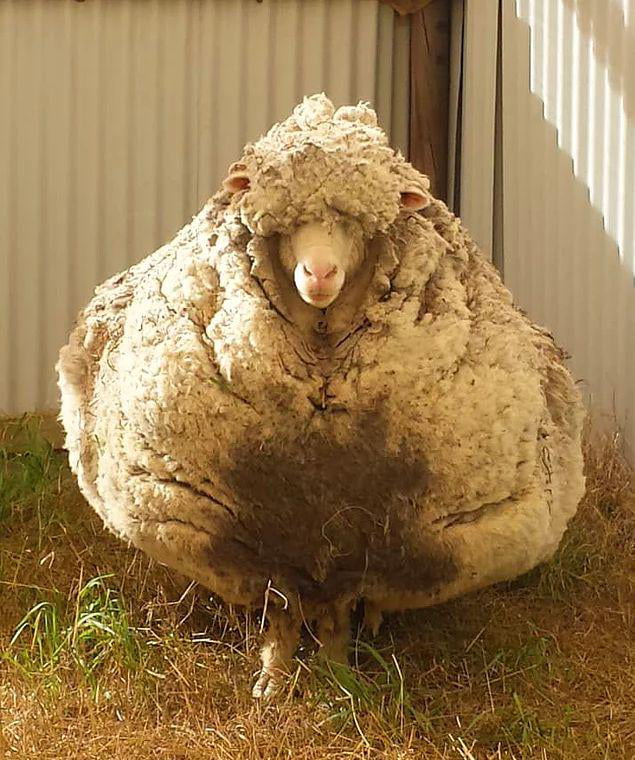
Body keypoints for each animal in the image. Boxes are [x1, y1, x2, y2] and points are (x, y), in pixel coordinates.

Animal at [57, 94, 586, 698]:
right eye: (285, 226)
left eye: (357, 226)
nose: (320, 273)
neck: (323, 358)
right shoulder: (261, 545)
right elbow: (282, 613)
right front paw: (272, 682)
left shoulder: (362, 551)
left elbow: (339, 615)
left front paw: (337, 680)